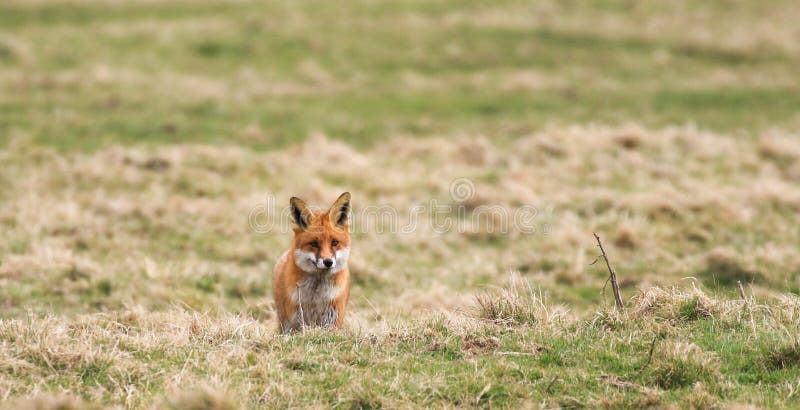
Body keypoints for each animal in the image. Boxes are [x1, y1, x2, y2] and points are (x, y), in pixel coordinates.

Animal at [272, 192, 352, 334]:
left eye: (335, 243)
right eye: (314, 244)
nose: (328, 262)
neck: (316, 298)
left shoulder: (331, 322)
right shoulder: (296, 322)